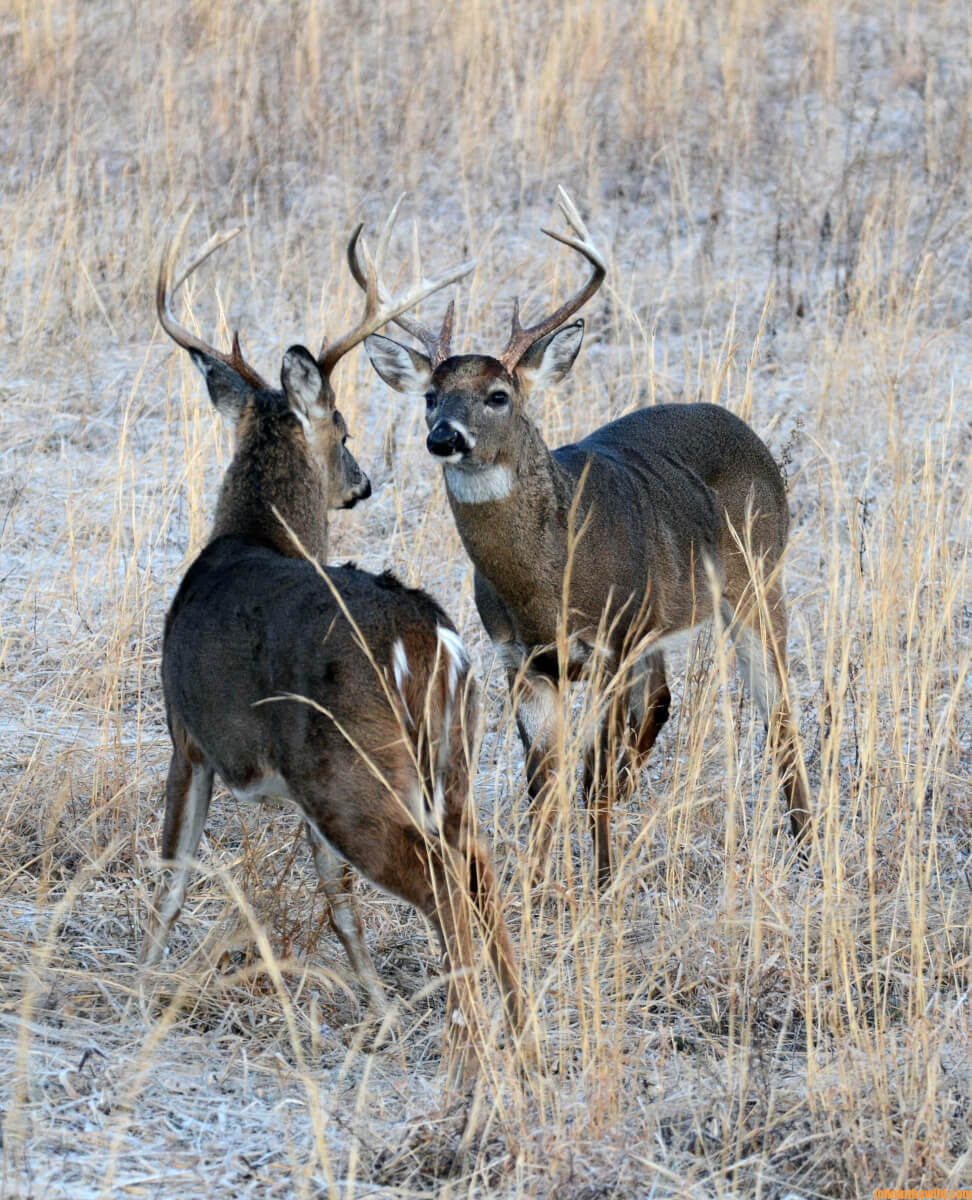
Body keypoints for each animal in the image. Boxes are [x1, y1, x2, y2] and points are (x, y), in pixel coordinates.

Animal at [140, 204, 524, 1074]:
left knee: (446, 883)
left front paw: (138, 984)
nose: (362, 483)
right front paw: (378, 1011)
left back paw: (470, 1045)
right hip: (447, 759)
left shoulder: (188, 734)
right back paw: (525, 1031)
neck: (250, 535)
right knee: (481, 870)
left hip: (351, 768)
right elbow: (338, 902)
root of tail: (429, 640)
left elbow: (173, 874)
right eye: (346, 429)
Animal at [363, 187, 812, 890]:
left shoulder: (610, 647)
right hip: (660, 623)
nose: (444, 437)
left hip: (758, 581)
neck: (547, 585)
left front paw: (601, 886)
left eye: (499, 394)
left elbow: (588, 779)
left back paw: (806, 845)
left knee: (779, 712)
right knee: (662, 700)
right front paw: (536, 890)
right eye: (431, 395)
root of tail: (745, 430)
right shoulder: (522, 659)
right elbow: (543, 786)